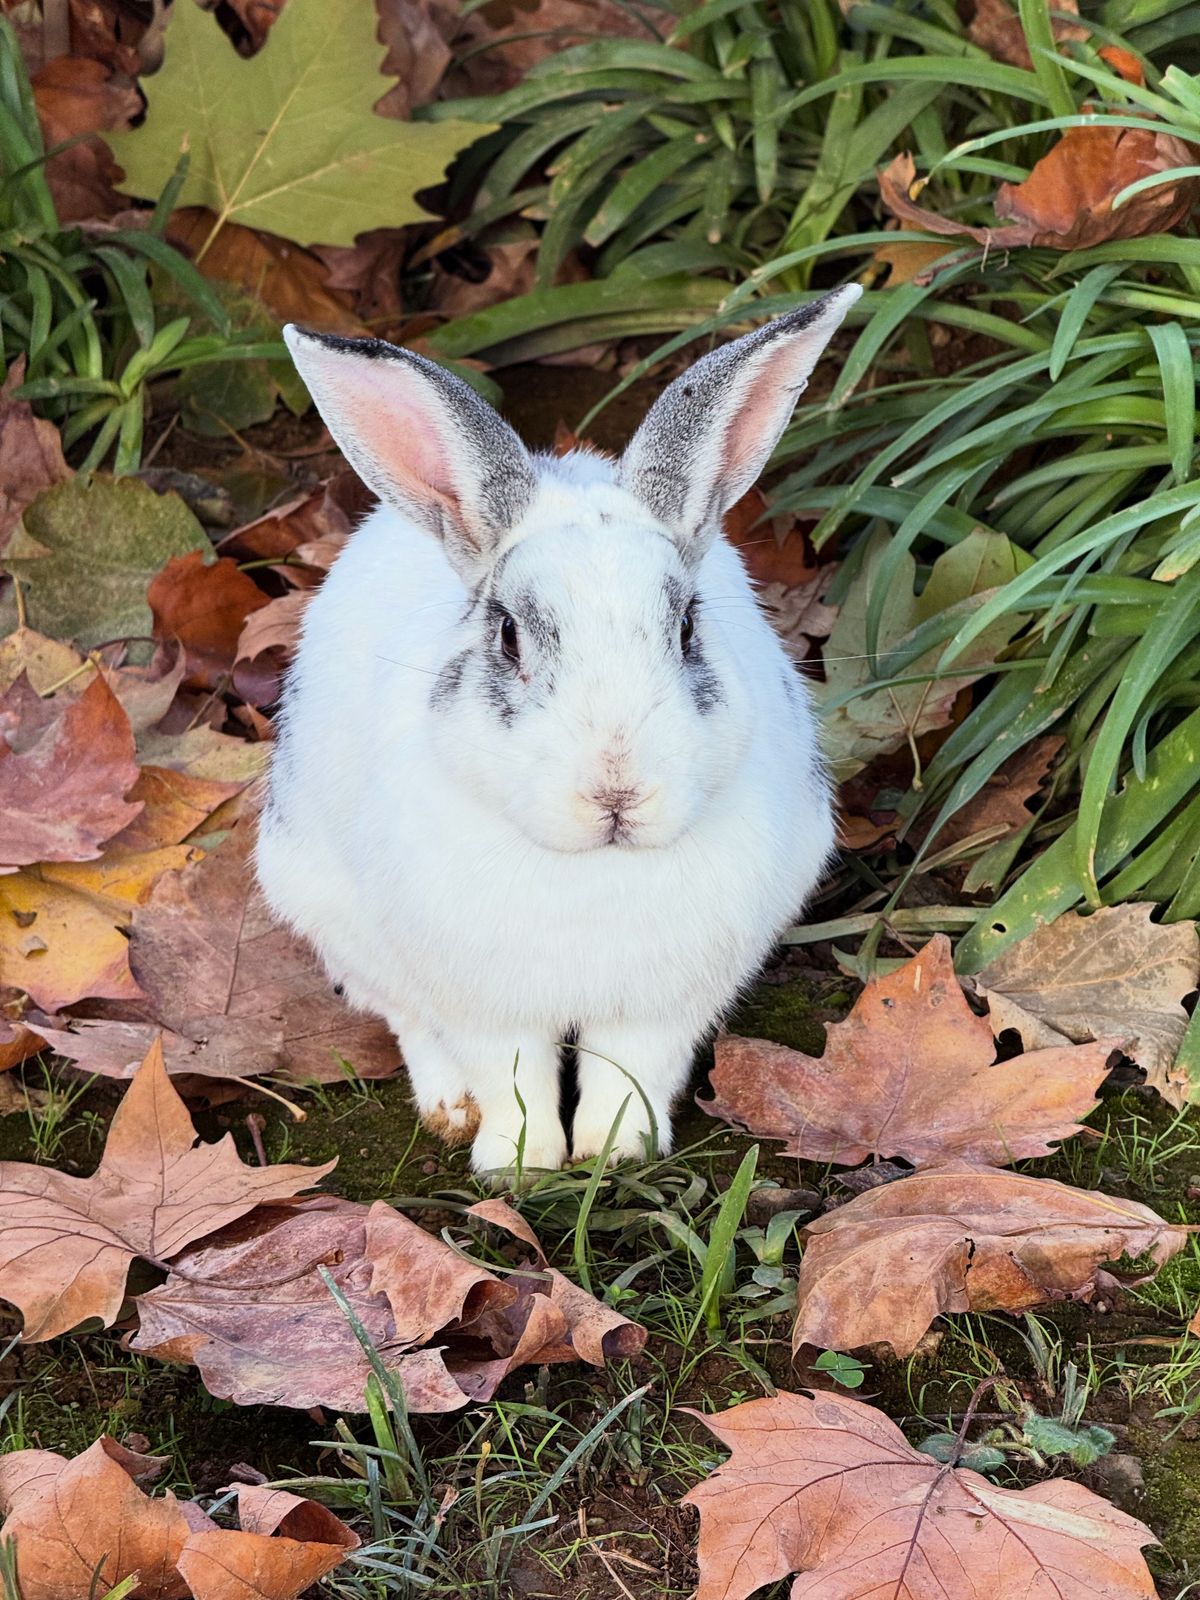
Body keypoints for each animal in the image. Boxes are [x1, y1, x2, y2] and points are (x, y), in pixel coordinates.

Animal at [257, 285, 860, 1175]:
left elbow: (629, 1072)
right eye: (509, 636)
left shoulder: (661, 1005)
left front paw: (615, 1153)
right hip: (334, 917)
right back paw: (450, 1111)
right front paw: (518, 1163)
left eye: (687, 629)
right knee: (406, 1018)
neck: (592, 869)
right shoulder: (482, 1000)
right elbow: (509, 1071)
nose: (617, 789)